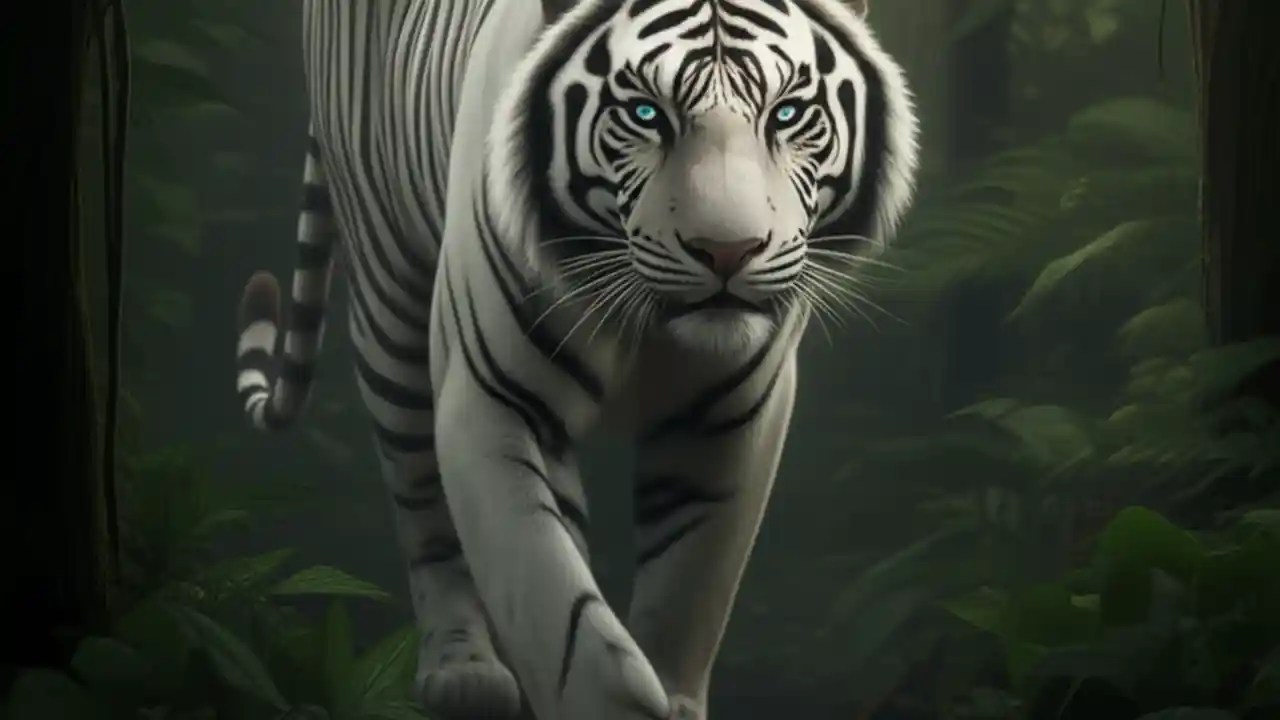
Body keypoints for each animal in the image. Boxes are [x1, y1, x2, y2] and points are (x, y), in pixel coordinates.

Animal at [233, 0, 919, 718]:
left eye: (786, 114)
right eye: (646, 113)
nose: (727, 251)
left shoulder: (733, 417)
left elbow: (686, 596)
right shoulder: (493, 400)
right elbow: (557, 611)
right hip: (389, 297)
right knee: (424, 506)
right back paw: (463, 671)